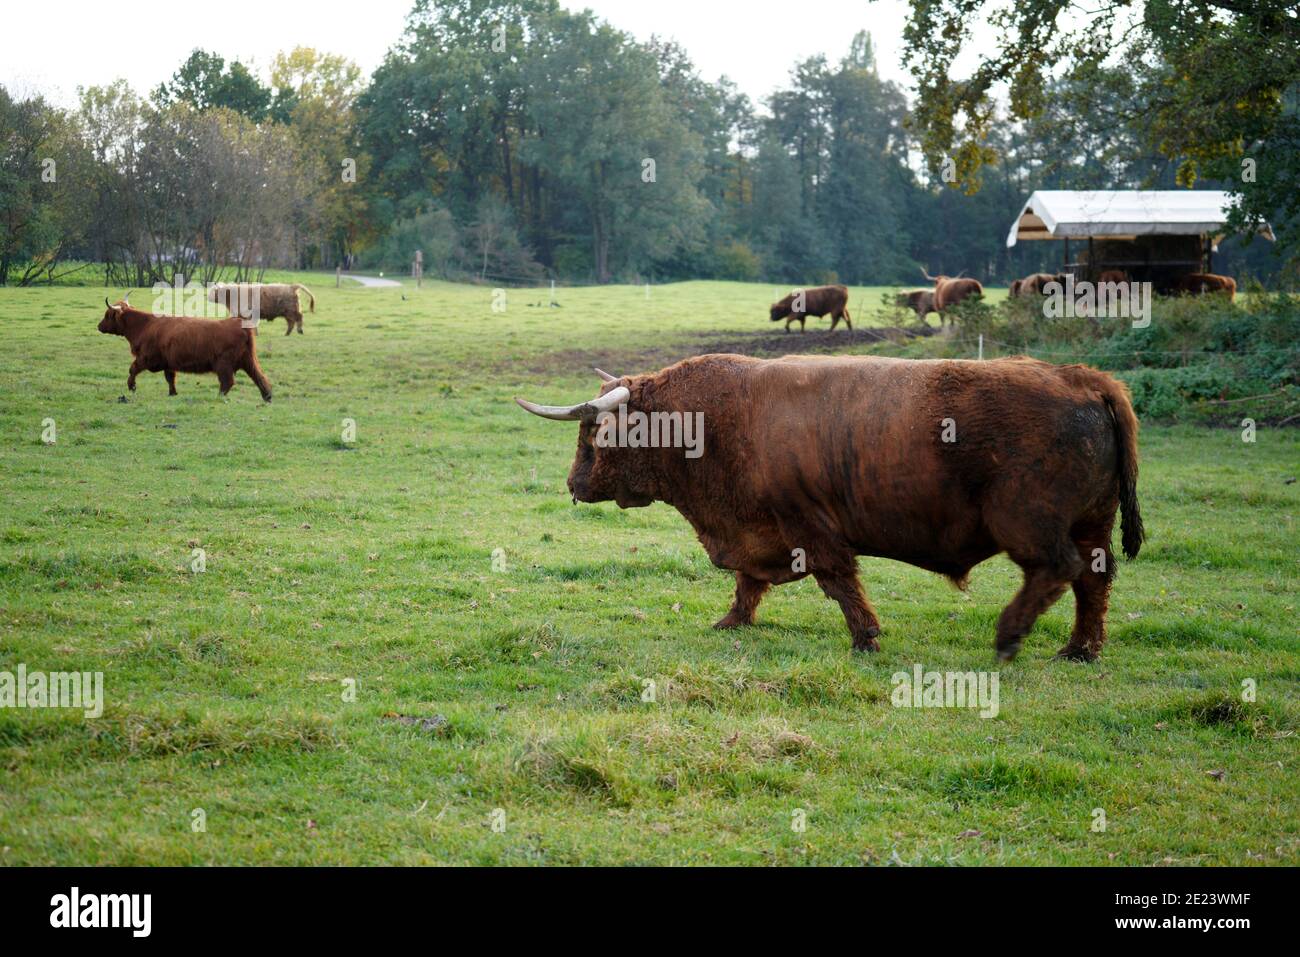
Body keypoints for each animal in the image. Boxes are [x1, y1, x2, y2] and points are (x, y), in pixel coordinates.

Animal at [98, 297, 272, 401]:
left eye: (107, 315)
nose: (99, 326)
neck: (144, 326)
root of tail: (238, 322)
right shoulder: (168, 363)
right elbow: (170, 378)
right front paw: (172, 393)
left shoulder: (145, 358)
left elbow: (132, 369)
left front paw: (132, 387)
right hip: (248, 360)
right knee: (260, 376)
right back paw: (267, 397)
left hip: (224, 363)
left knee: (227, 381)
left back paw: (218, 397)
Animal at [517, 354, 1143, 662]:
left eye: (594, 434)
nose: (573, 484)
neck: (709, 420)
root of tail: (1084, 380)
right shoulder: (759, 531)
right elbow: (748, 583)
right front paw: (732, 621)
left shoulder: (807, 524)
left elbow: (837, 580)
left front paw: (866, 637)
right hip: (1091, 523)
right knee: (1093, 581)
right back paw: (1080, 650)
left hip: (1030, 523)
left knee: (1057, 570)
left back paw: (1010, 636)